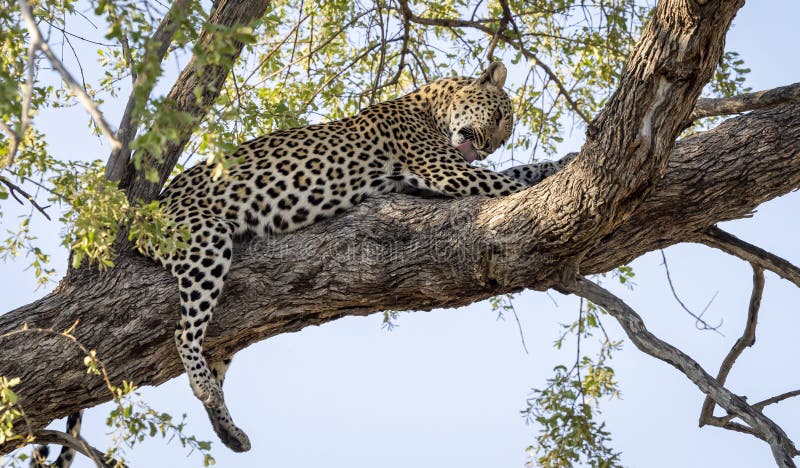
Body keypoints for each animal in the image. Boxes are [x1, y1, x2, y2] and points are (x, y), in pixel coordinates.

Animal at [140, 61, 573, 452]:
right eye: (498, 117)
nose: (487, 149)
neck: (432, 104)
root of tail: (145, 214)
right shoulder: (450, 171)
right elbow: (512, 183)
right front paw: (559, 171)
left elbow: (523, 171)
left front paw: (564, 162)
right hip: (205, 238)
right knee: (185, 332)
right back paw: (203, 385)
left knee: (216, 353)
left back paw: (229, 430)